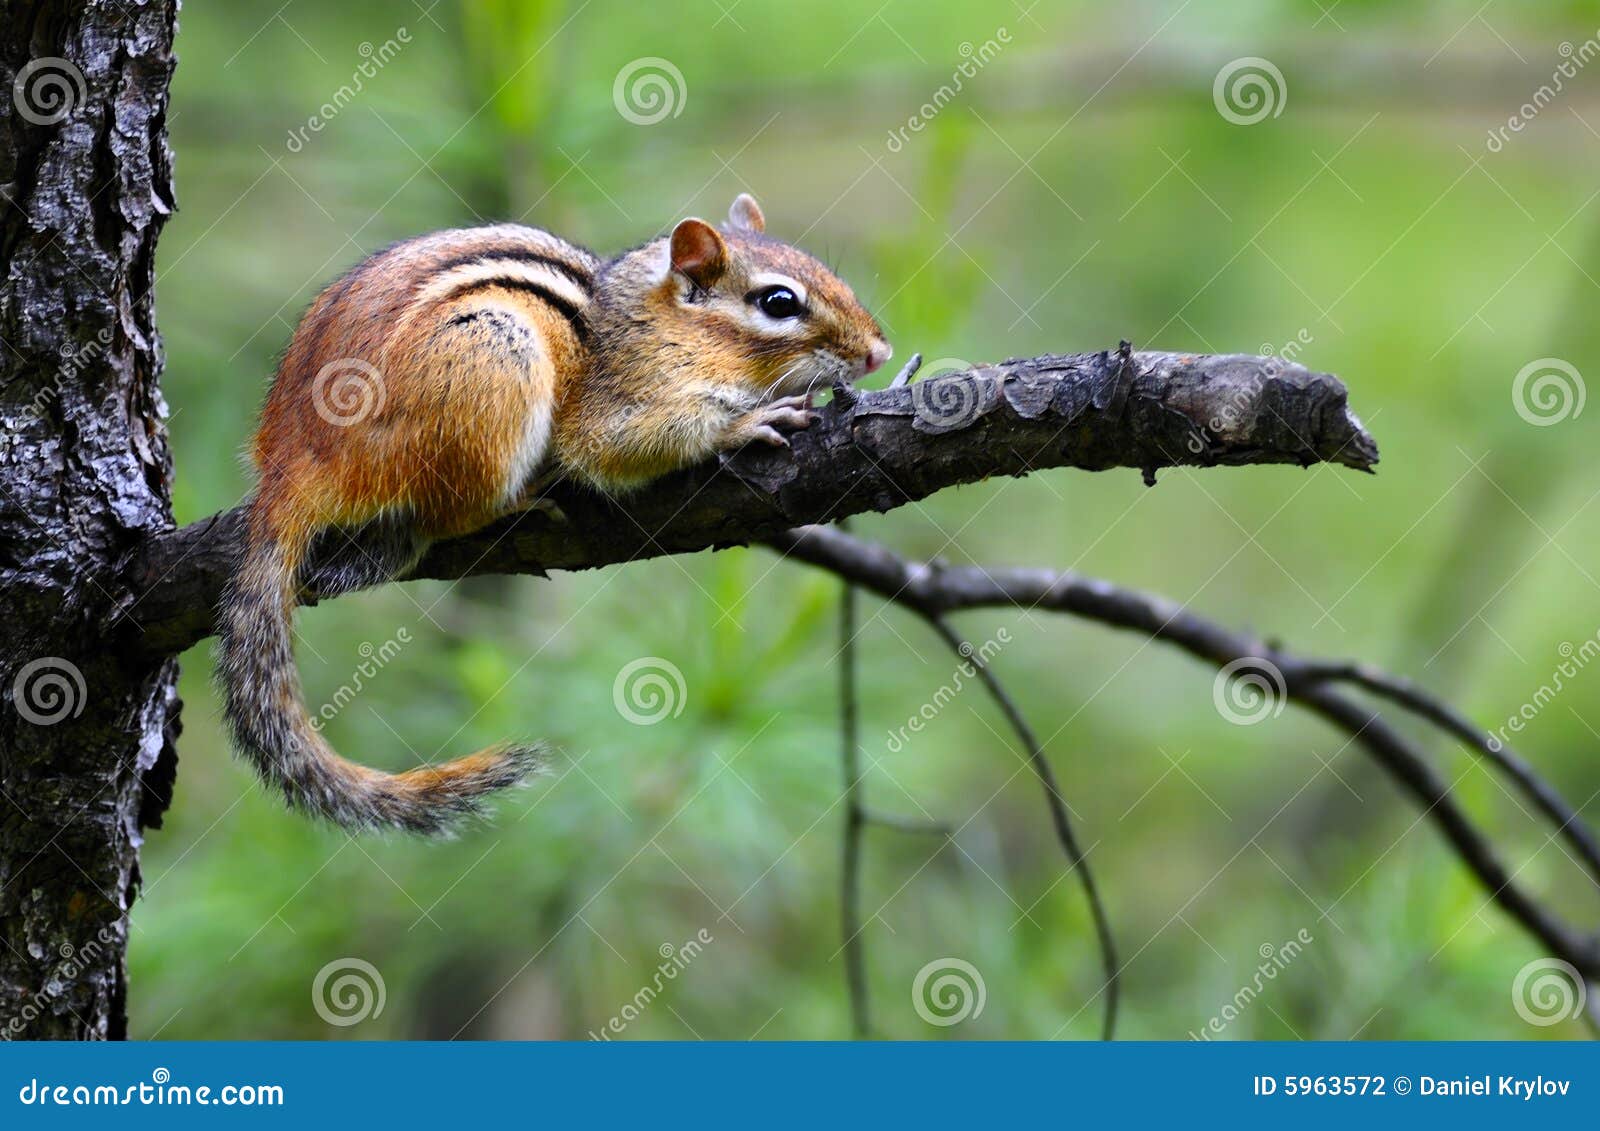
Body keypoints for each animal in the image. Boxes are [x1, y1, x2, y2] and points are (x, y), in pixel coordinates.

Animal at [218, 193, 890, 835]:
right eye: (778, 302)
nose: (879, 353)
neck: (658, 323)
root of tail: (291, 464)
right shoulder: (621, 399)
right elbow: (615, 447)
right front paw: (745, 422)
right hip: (493, 356)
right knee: (443, 518)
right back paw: (522, 496)